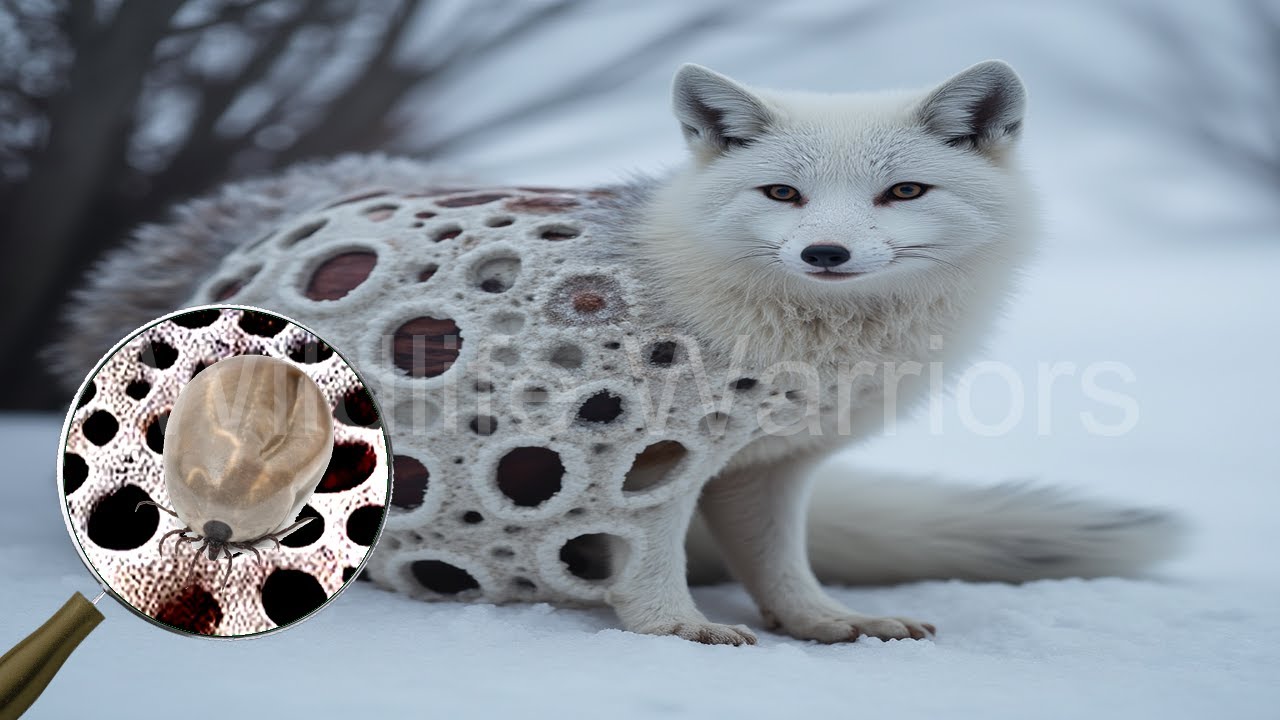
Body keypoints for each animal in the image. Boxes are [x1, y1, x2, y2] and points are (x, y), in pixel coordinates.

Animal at [51, 60, 1184, 645]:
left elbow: (779, 565)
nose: (825, 251)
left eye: (903, 192)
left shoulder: (769, 466)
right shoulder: (642, 462)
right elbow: (642, 567)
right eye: (781, 193)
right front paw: (678, 633)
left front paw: (821, 624)